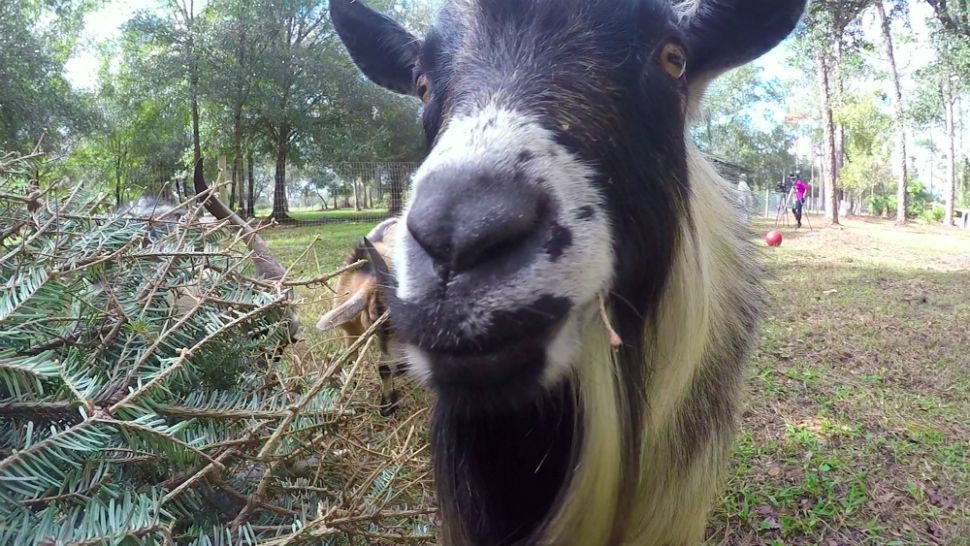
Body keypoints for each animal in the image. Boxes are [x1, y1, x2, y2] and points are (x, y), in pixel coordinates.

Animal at [316, 218, 409, 416]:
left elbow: (384, 367)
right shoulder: (351, 332)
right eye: (374, 318)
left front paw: (388, 403)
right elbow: (352, 360)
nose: (402, 367)